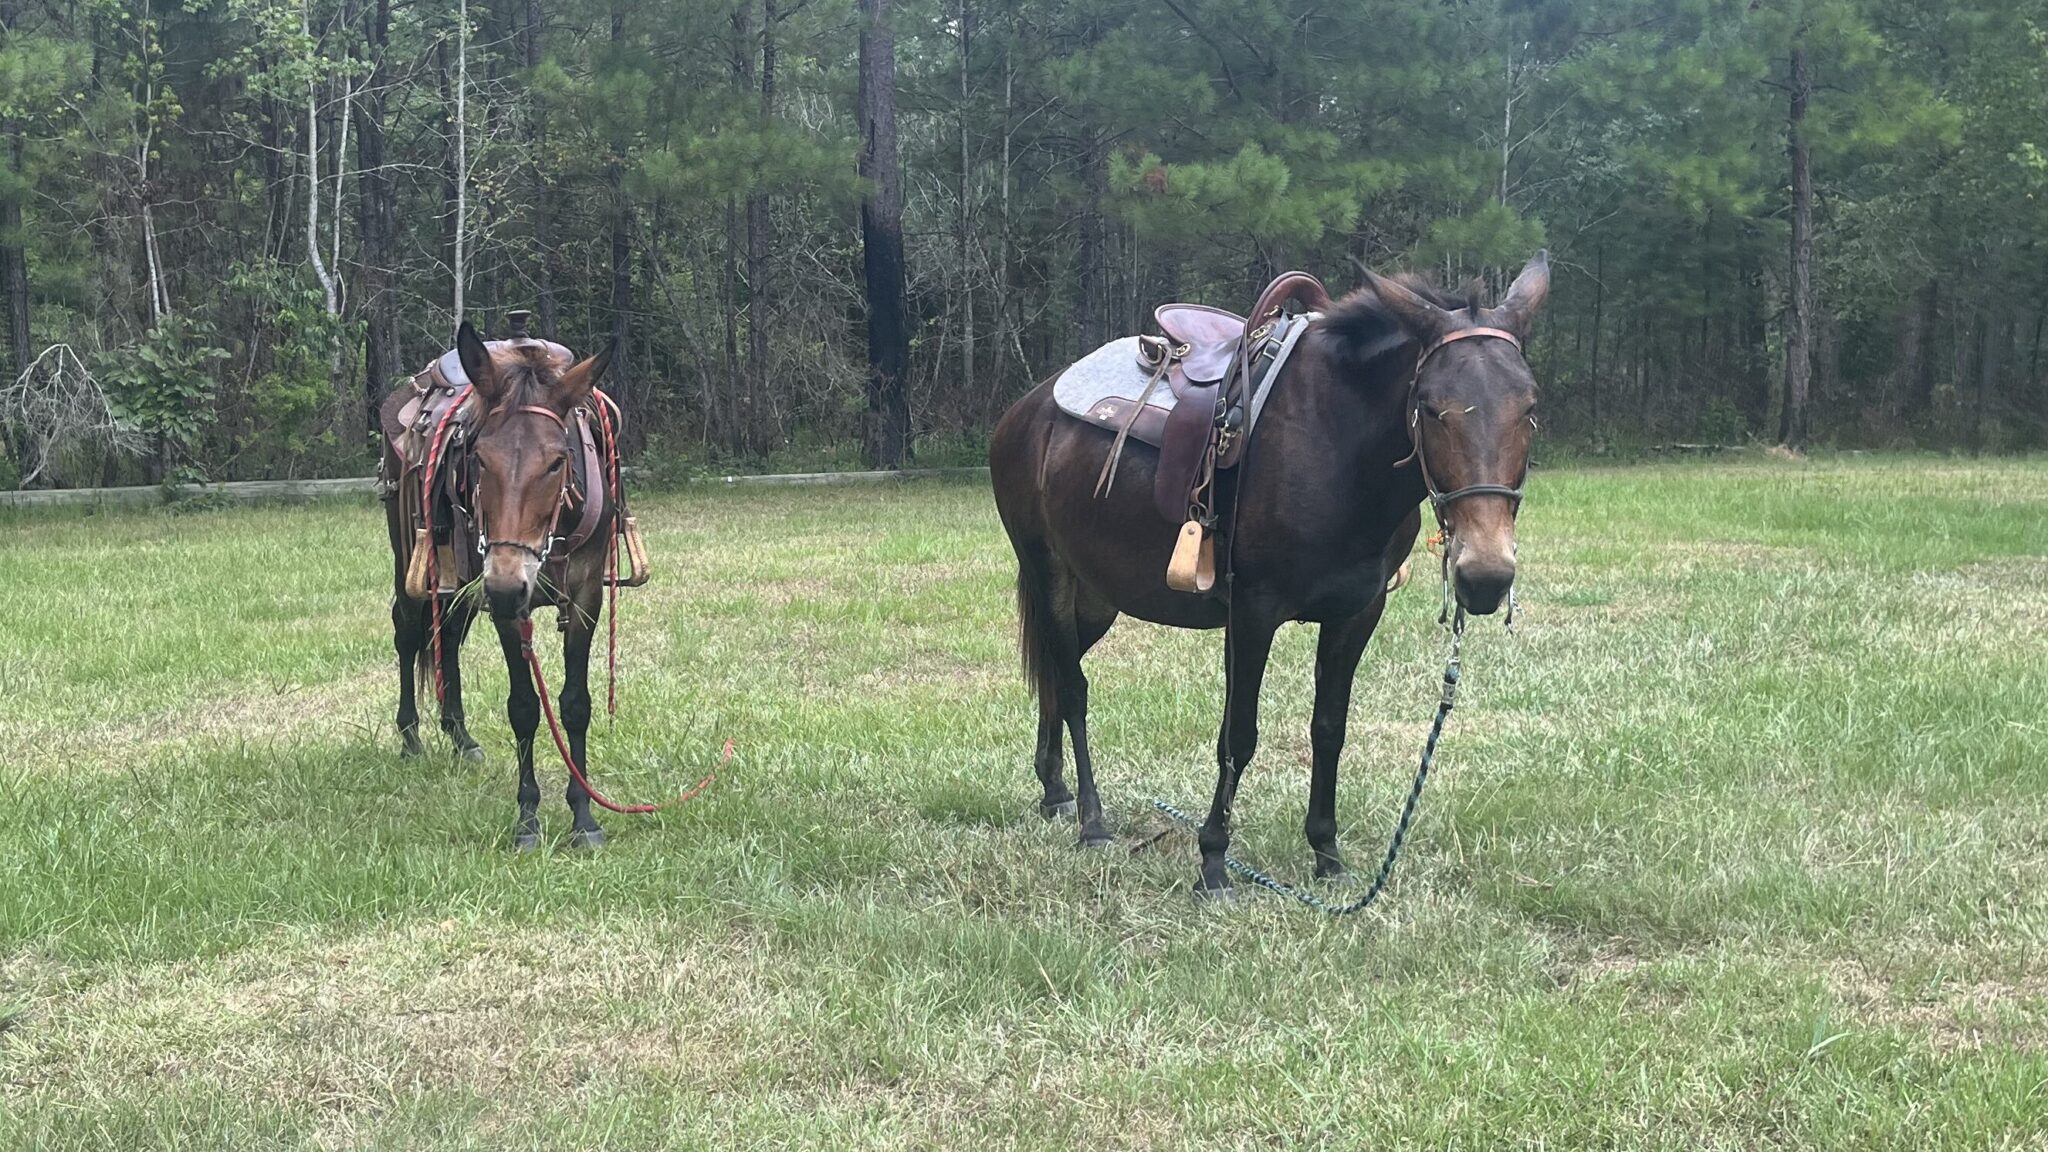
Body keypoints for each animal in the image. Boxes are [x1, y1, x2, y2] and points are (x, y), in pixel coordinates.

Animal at [380, 320, 621, 850]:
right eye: (479, 457)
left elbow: (575, 704)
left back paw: (460, 737)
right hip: (415, 558)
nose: (510, 585)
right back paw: (411, 737)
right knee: (408, 633)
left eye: (557, 461)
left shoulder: (585, 596)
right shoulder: (507, 604)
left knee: (448, 634)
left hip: (464, 581)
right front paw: (528, 820)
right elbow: (525, 707)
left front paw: (584, 818)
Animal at [988, 253, 1549, 897]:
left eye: (1530, 408)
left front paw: (1327, 854)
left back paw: (1053, 791)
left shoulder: (1357, 612)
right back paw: (1091, 818)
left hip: (1098, 594)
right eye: (1431, 408)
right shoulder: (1252, 612)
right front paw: (1213, 860)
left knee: (1055, 678)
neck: (1338, 449)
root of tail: (1025, 411)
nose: (1486, 574)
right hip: (1048, 571)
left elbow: (1329, 728)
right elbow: (1239, 734)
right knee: (1072, 686)